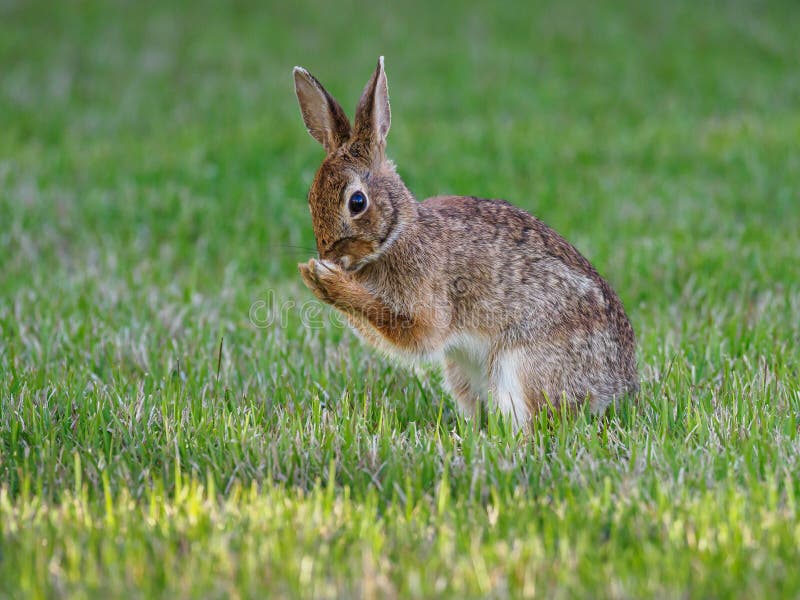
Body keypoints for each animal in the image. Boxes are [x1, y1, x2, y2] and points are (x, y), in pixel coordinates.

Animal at [293, 57, 638, 429]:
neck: (399, 232)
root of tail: (620, 388)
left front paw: (324, 280)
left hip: (520, 365)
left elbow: (410, 333)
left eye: (357, 202)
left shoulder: (428, 304)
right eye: (311, 200)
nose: (332, 256)